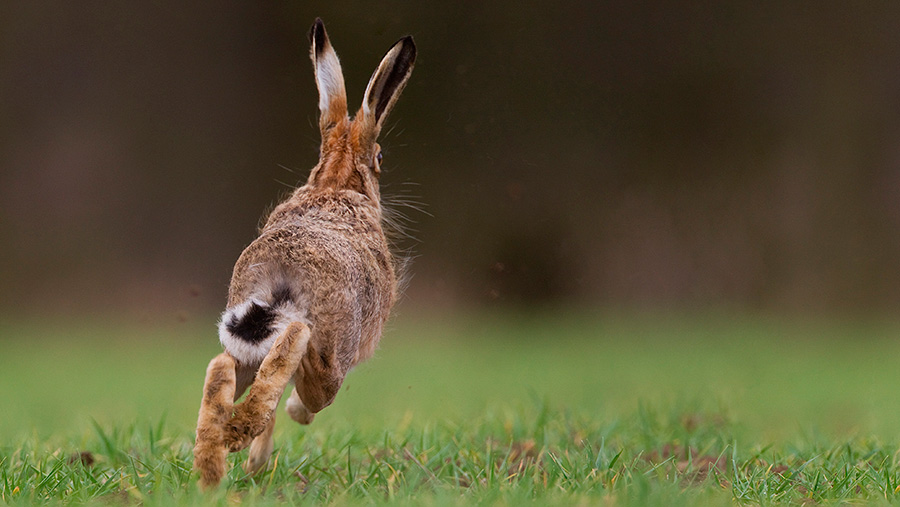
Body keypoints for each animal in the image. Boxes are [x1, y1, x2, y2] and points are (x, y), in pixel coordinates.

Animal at [193, 18, 415, 488]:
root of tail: (283, 273)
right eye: (381, 155)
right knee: (299, 356)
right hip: (332, 348)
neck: (333, 181)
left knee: (220, 368)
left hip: (243, 338)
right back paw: (242, 437)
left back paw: (213, 469)